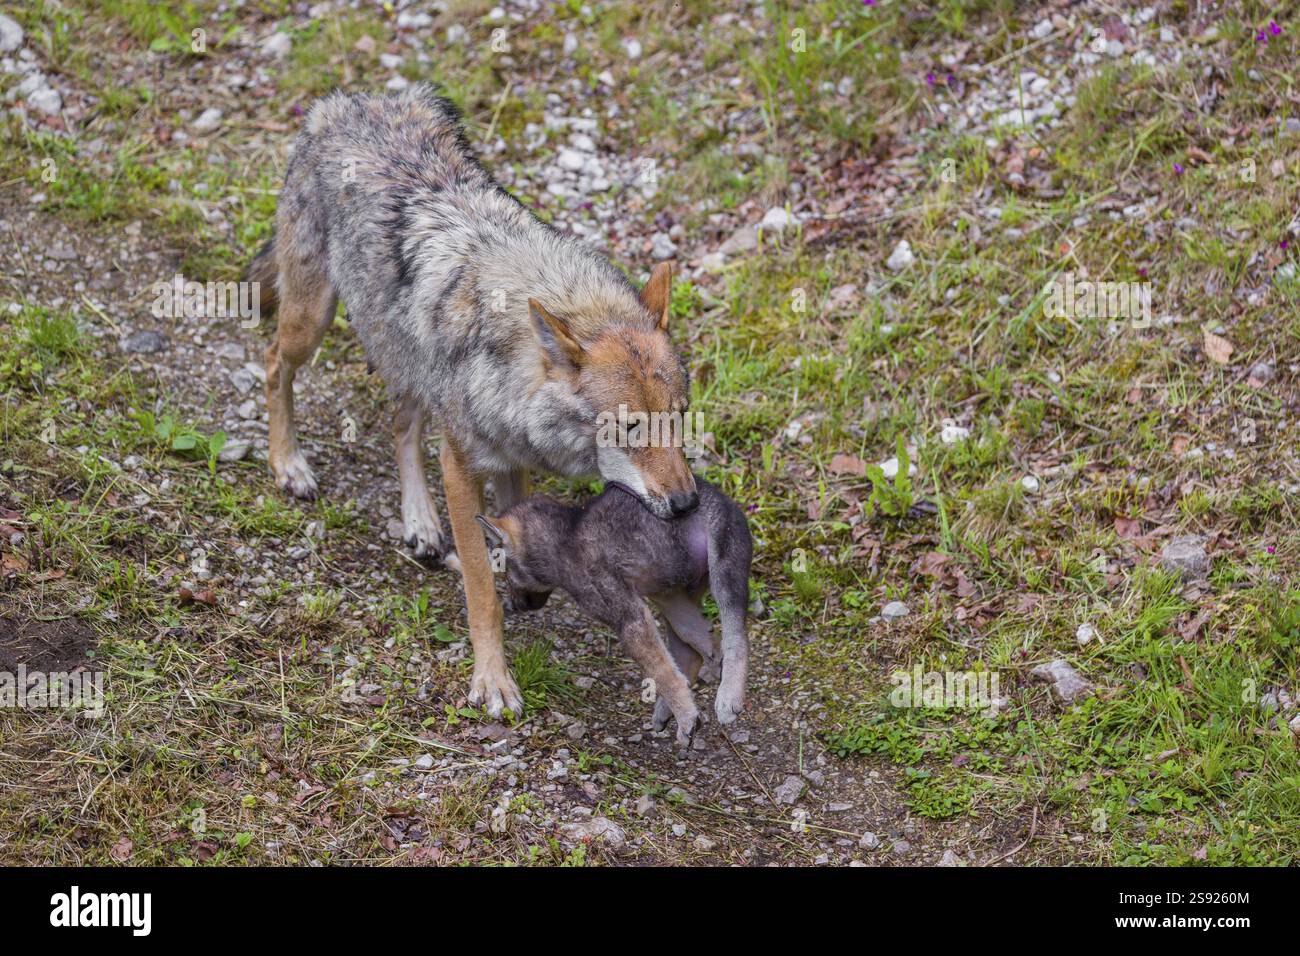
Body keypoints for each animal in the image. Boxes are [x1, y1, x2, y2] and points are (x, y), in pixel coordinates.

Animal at [247, 85, 698, 717]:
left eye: (678, 420)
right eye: (628, 429)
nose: (687, 504)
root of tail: (349, 100)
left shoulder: (512, 463)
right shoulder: (462, 467)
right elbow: (480, 589)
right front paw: (493, 680)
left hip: (404, 352)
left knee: (401, 423)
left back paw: (419, 521)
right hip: (311, 322)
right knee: (272, 364)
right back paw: (288, 464)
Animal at [476, 477, 751, 746]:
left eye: (504, 570)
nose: (514, 605)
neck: (564, 539)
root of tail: (721, 497)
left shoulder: (630, 619)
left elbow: (661, 671)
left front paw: (688, 717)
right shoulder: (653, 600)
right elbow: (681, 650)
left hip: (722, 572)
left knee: (736, 638)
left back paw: (727, 697)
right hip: (669, 588)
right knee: (690, 646)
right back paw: (669, 706)